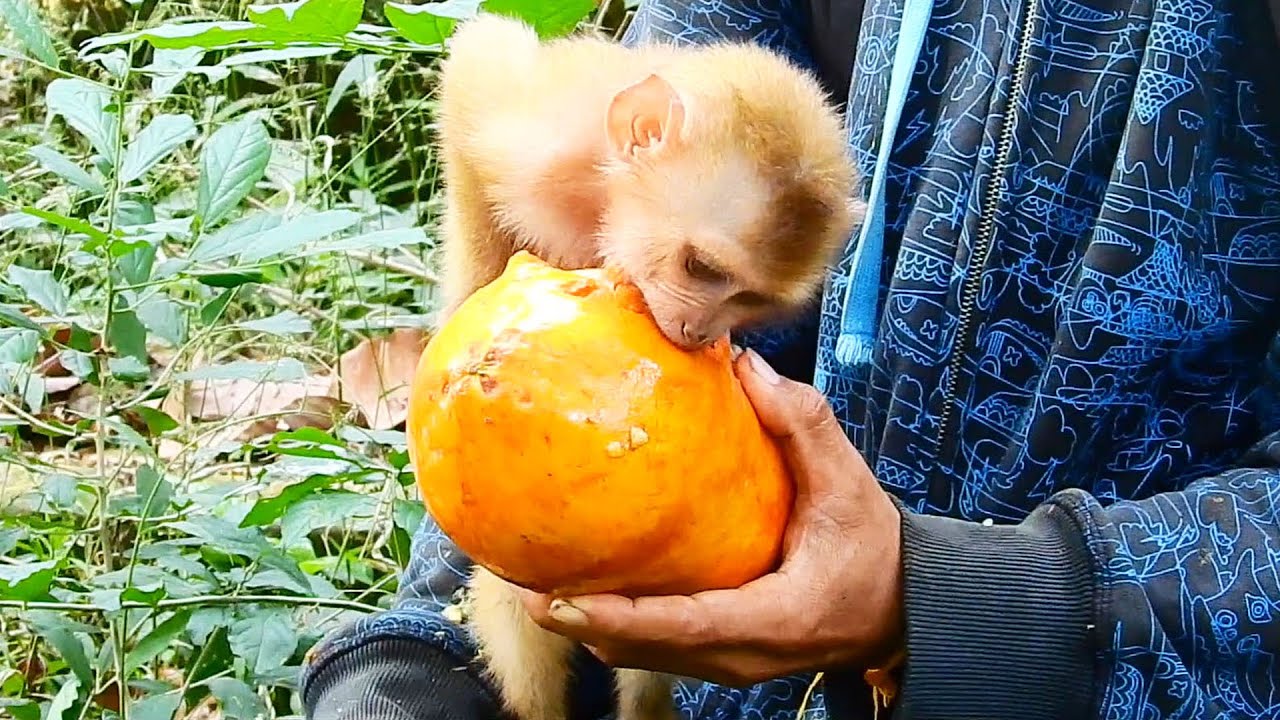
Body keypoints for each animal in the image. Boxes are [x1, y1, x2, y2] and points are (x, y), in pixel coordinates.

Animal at [432, 12, 863, 720]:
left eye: (750, 300)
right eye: (702, 268)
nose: (699, 331)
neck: (600, 195)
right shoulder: (532, 142)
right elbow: (476, 64)